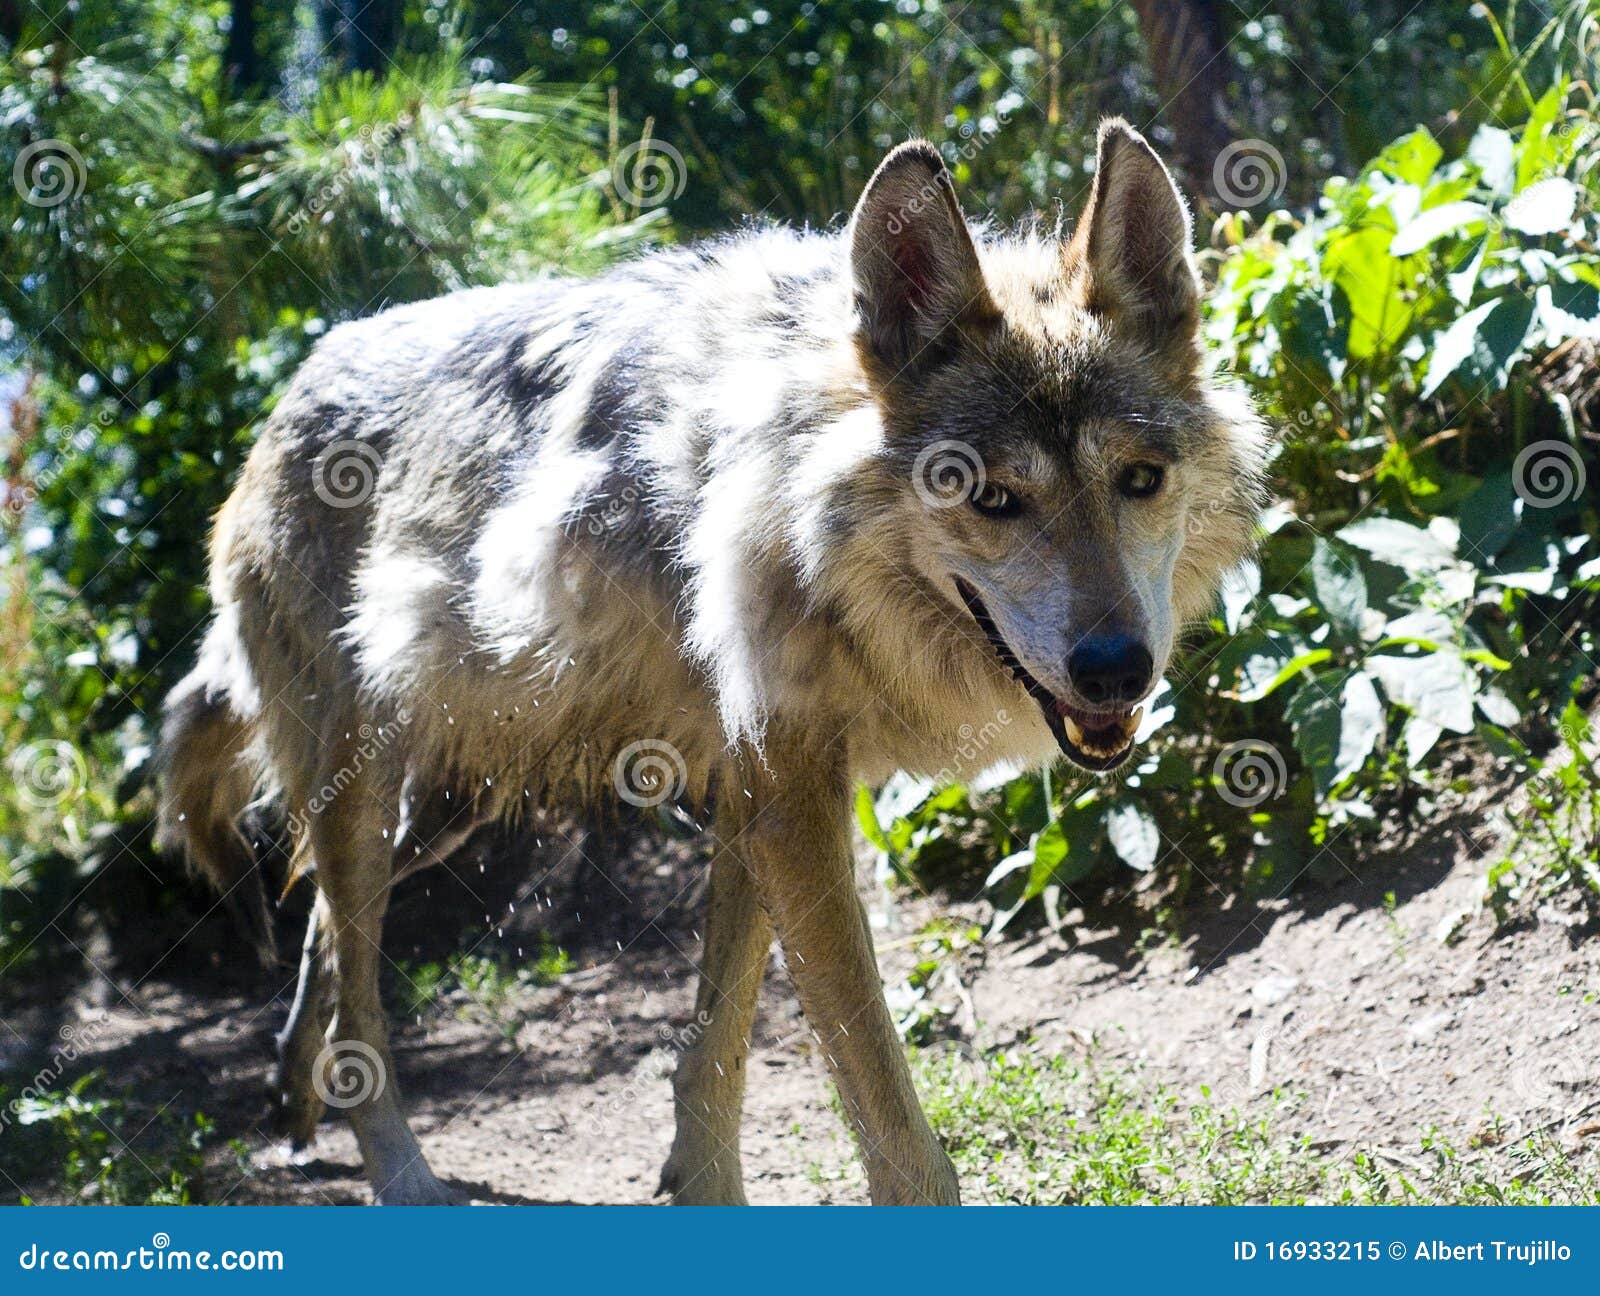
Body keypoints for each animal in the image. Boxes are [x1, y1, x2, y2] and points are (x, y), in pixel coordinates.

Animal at [156, 119, 1267, 1205]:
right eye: (990, 497)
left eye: (1139, 480)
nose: (1117, 669)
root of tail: (294, 386)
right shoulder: (789, 800)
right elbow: (888, 1119)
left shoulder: (755, 792)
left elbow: (715, 1049)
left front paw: (700, 1185)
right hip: (367, 785)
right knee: (357, 990)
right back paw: (401, 1179)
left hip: (434, 809)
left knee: (323, 931)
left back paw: (294, 1102)